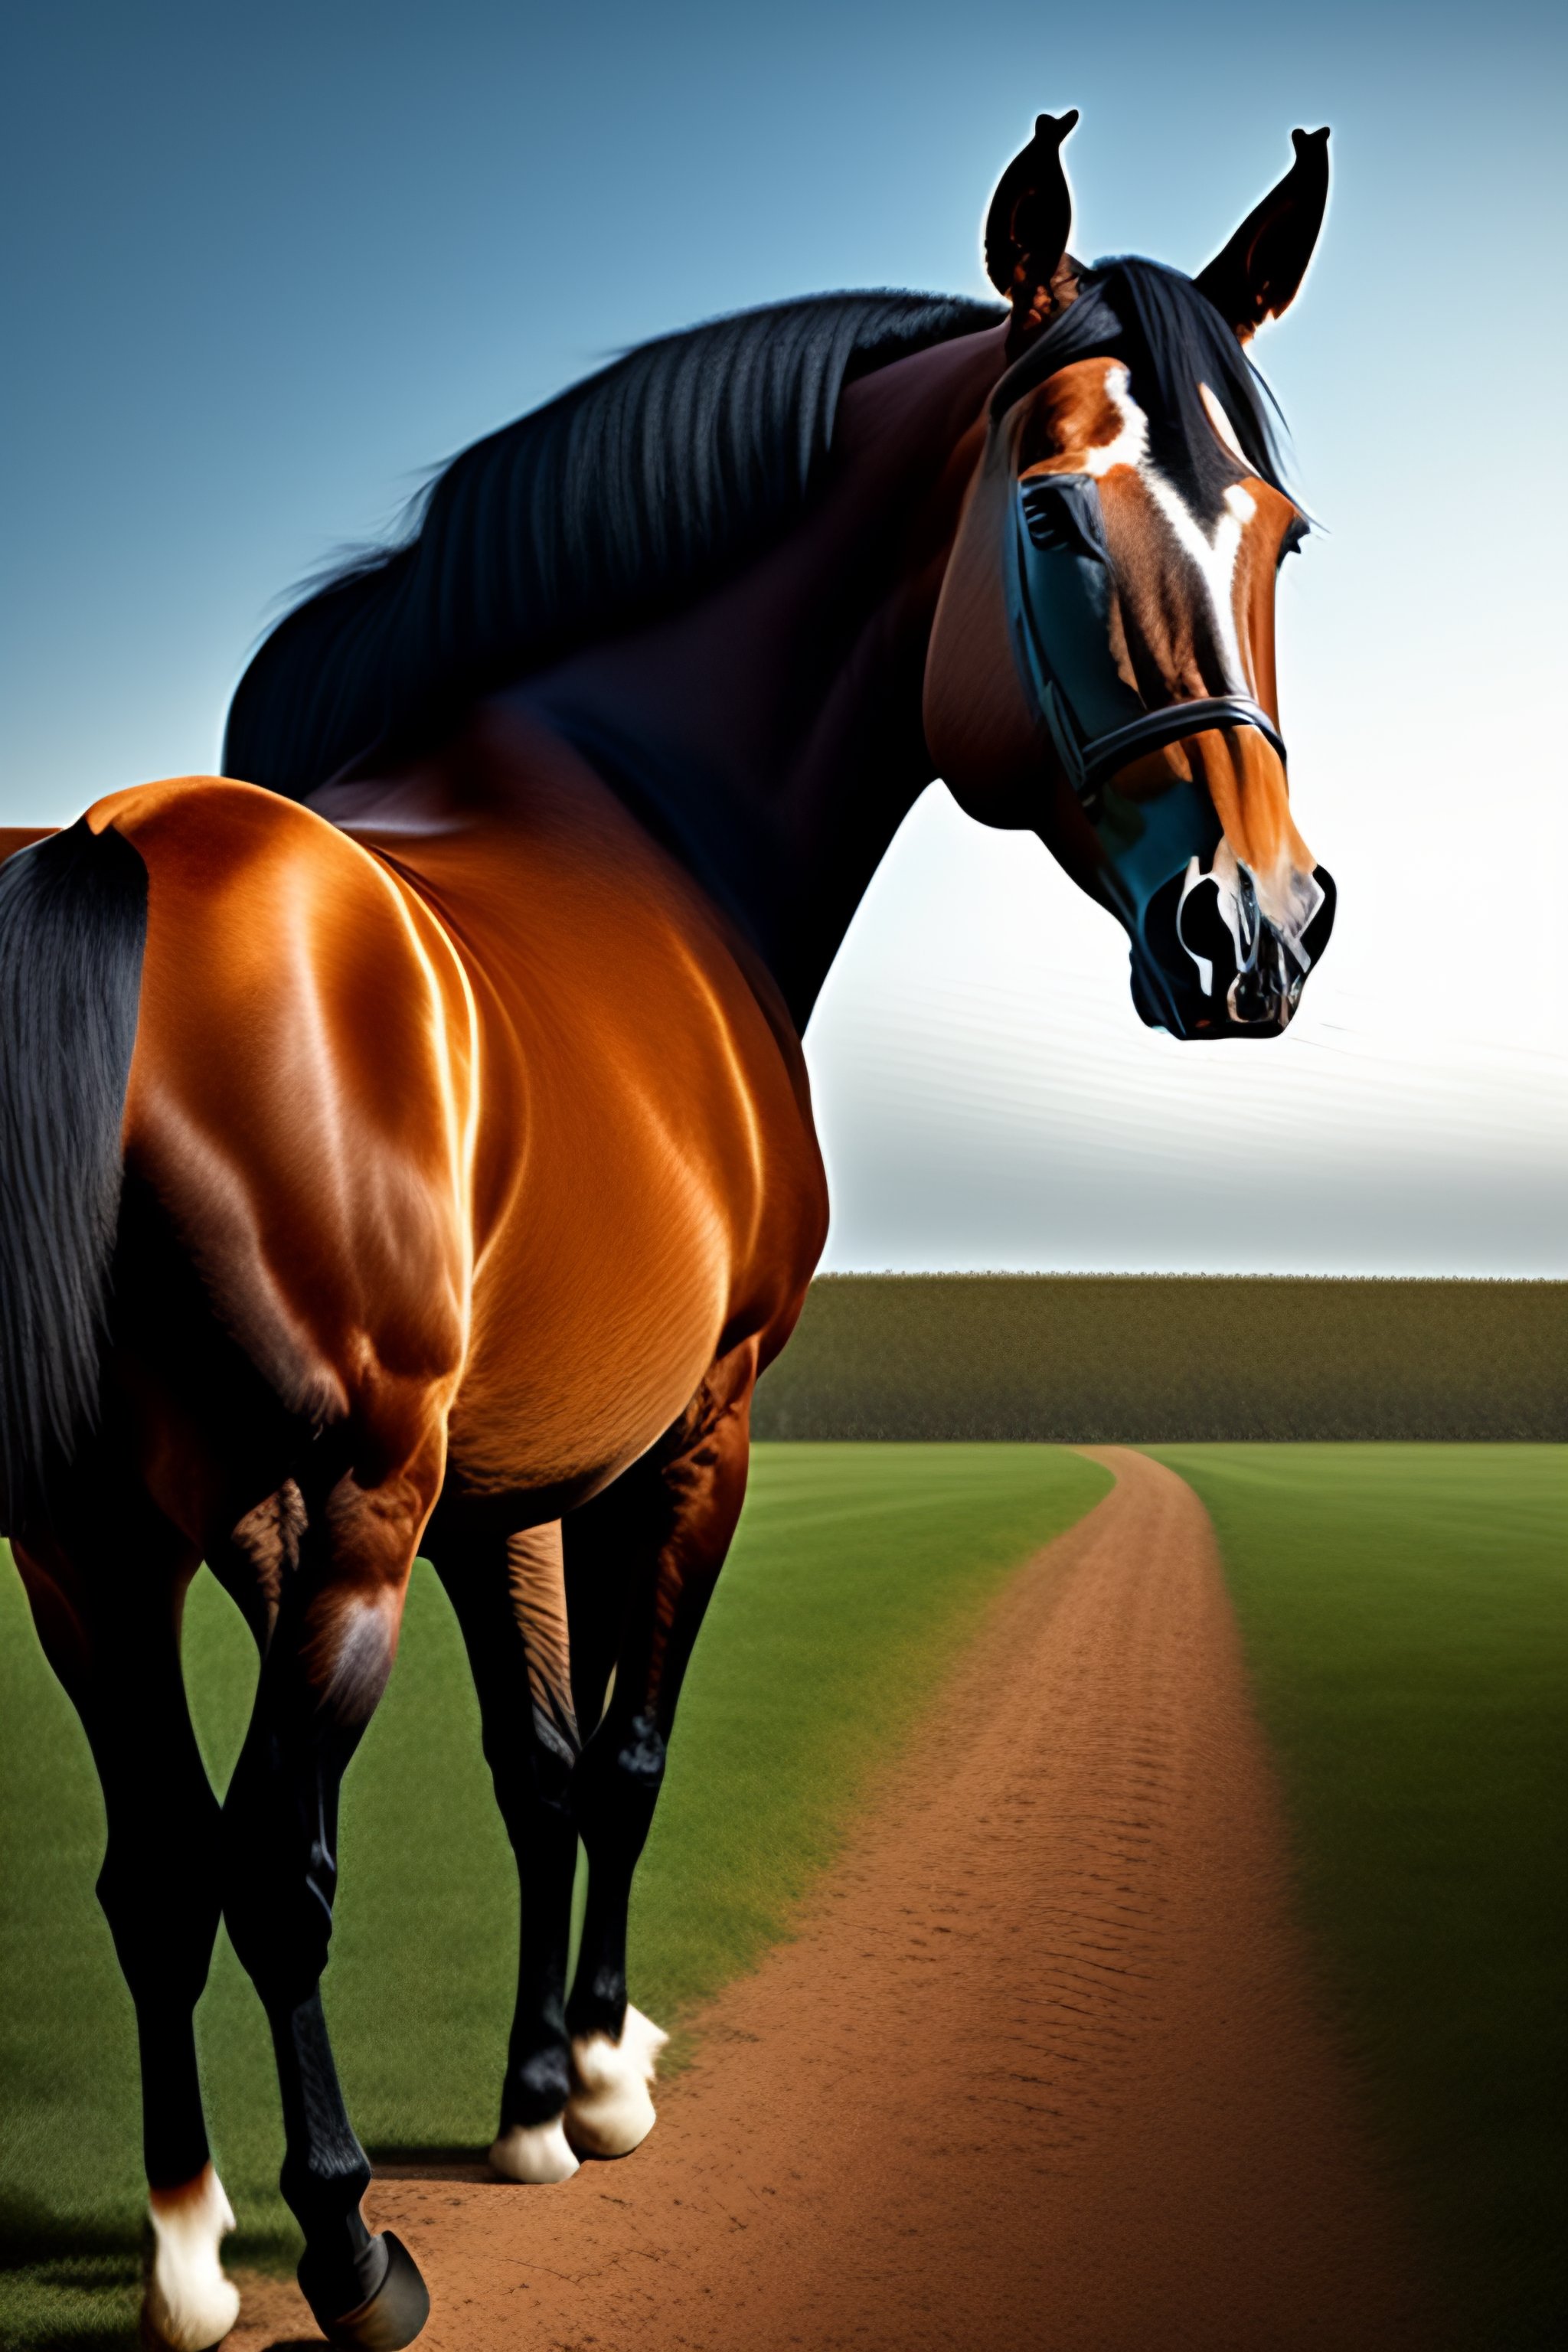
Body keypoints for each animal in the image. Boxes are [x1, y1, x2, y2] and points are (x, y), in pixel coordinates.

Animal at [0, 111, 1333, 2351]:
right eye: (1050, 513)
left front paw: (534, 2093)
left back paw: (189, 2245)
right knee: (271, 1861)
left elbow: (534, 1758)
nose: (1255, 930)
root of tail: (112, 856)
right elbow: (622, 1753)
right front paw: (606, 2081)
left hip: (90, 1542)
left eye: (1282, 536)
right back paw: (345, 2245)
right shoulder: (689, 1433)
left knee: (159, 1863)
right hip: (321, 1525)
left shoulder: (509, 1480)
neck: (632, 804)